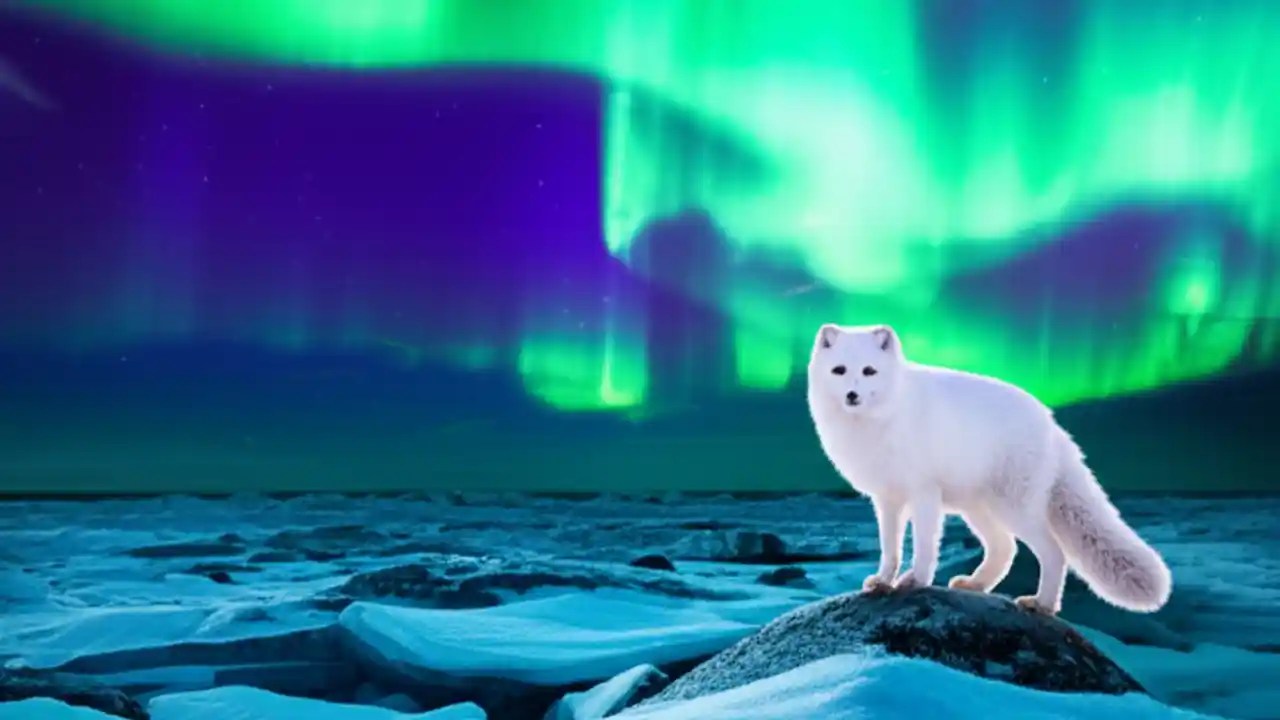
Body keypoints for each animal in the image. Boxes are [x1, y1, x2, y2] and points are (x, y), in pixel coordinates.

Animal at [806, 323, 1171, 615]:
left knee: (1053, 553)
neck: (878, 421)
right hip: (979, 508)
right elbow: (889, 548)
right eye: (839, 370)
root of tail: (1053, 425)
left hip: (1013, 508)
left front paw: (915, 581)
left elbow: (924, 545)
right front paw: (883, 581)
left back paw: (1042, 604)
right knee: (1005, 548)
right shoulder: (887, 499)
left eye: (869, 371)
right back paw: (976, 585)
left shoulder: (924, 492)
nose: (852, 395)